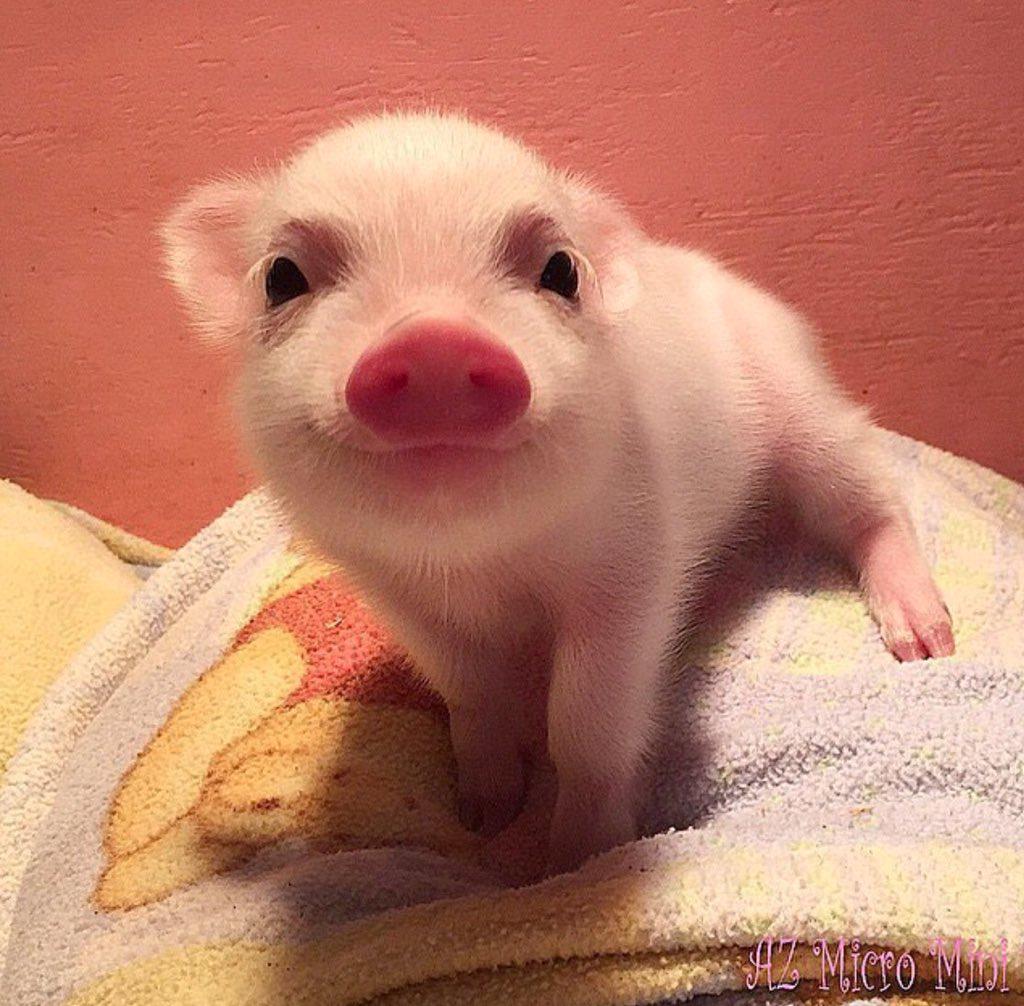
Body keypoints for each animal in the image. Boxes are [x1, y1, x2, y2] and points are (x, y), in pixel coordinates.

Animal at [162, 111, 955, 873]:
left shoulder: (632, 569)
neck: (476, 564)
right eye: (281, 278)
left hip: (807, 411)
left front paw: (574, 863)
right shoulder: (397, 594)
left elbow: (586, 723)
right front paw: (483, 817)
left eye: (561, 270)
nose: (434, 339)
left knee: (873, 494)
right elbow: (470, 693)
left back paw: (926, 643)